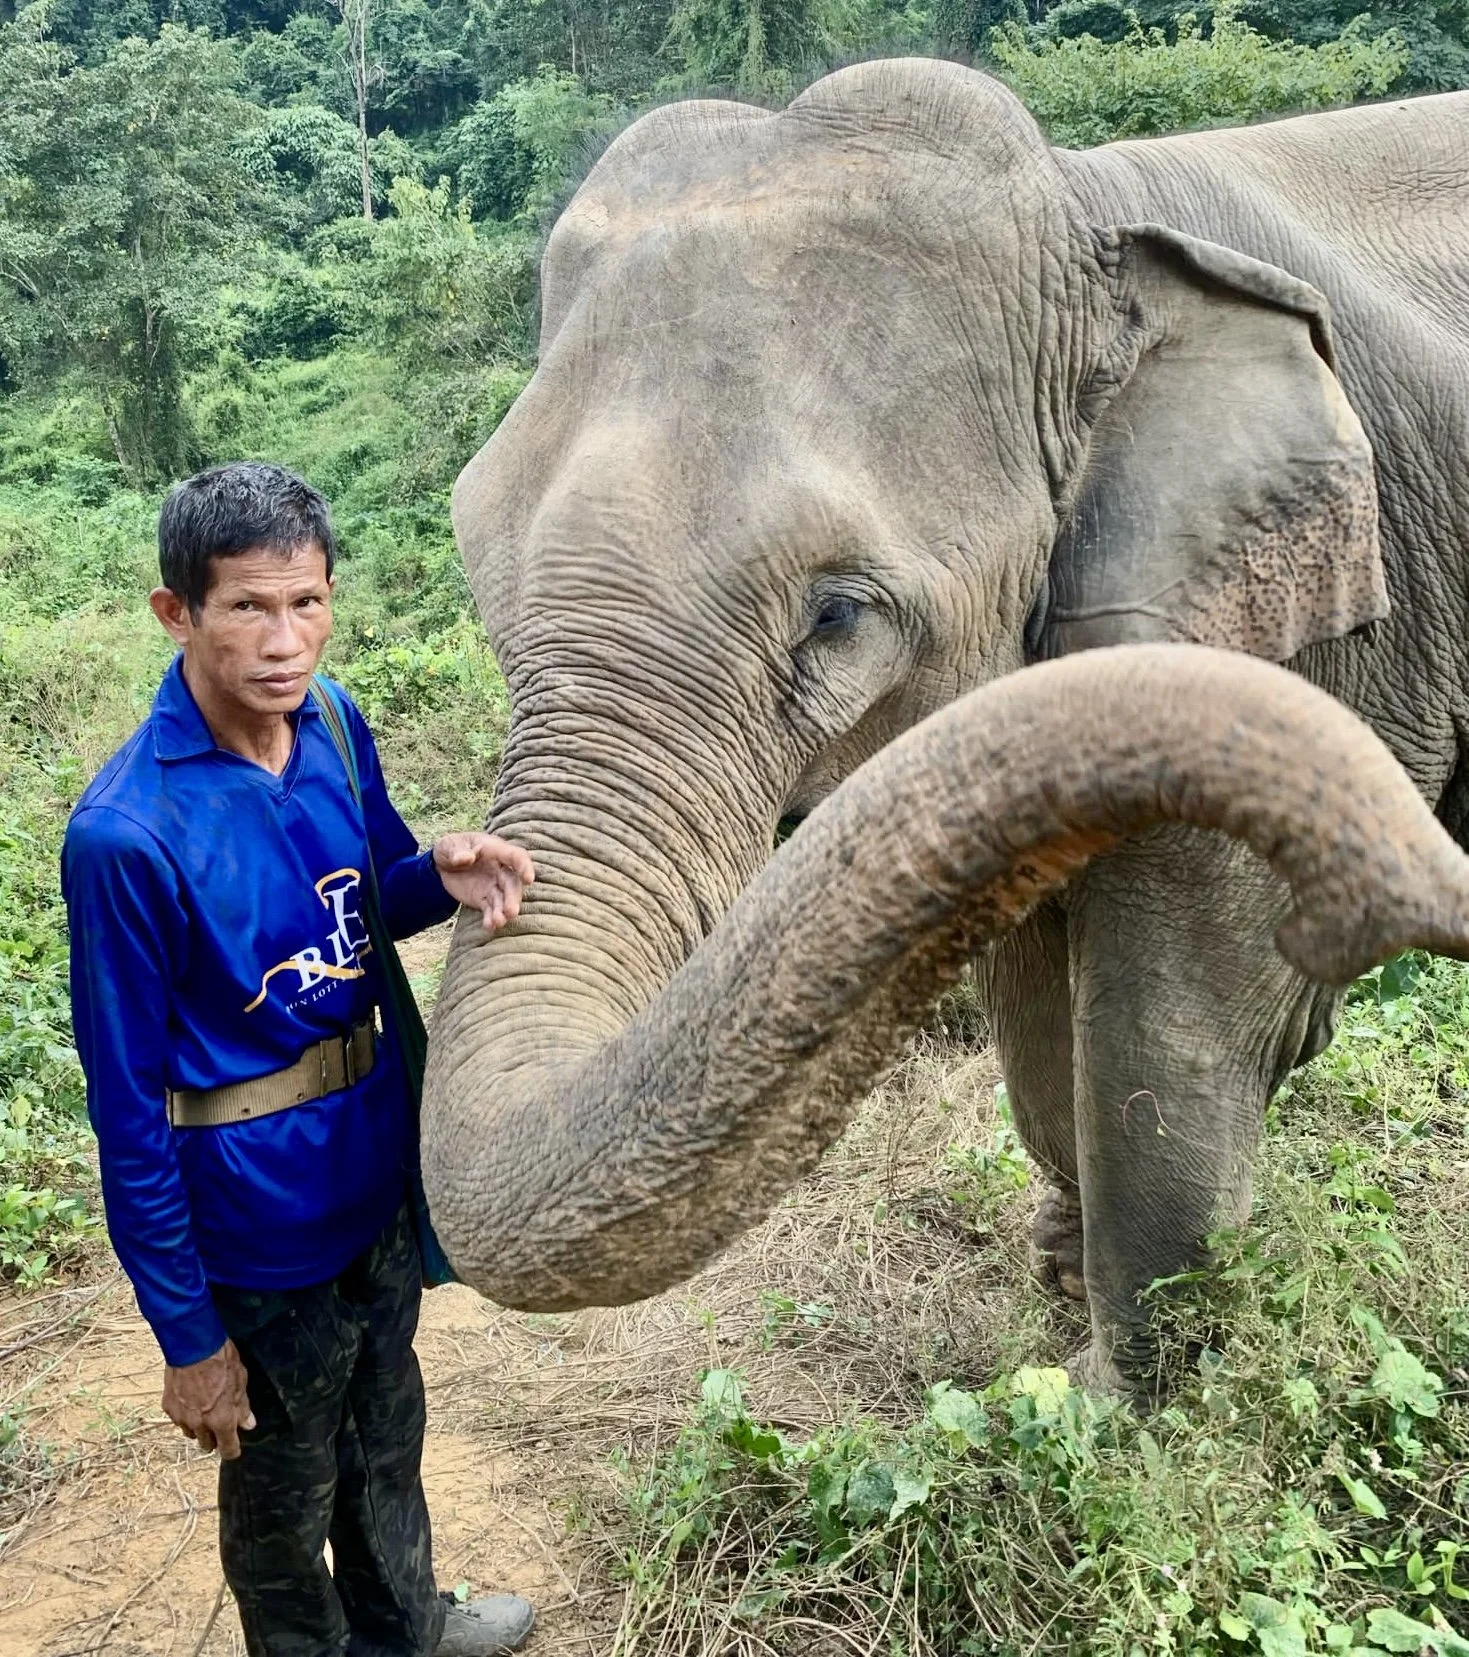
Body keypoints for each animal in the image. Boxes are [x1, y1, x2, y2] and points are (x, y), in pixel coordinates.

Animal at [422, 60, 1469, 1392]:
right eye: (480, 568)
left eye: (834, 615)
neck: (1087, 210)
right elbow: (1034, 996)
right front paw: (1059, 1301)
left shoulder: (1315, 624)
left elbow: (1176, 1024)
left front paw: (1101, 1401)